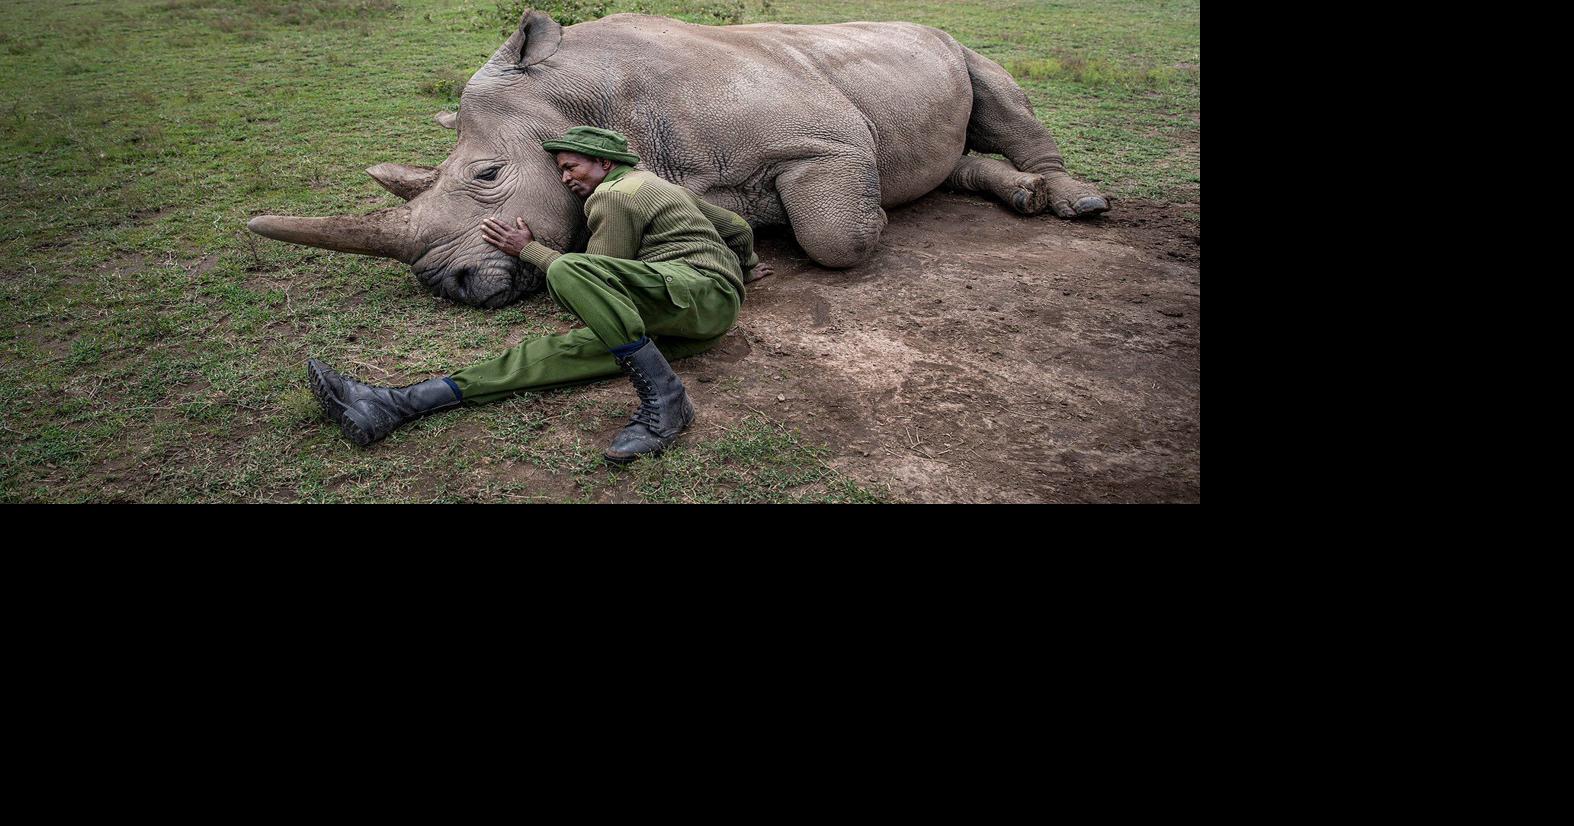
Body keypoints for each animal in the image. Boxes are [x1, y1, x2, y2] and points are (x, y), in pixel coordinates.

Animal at [248, 9, 1109, 308]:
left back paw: (1080, 205)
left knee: (999, 90)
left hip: (952, 41)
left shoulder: (828, 142)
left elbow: (836, 236)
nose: (447, 286)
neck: (582, 95)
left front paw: (850, 228)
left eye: (488, 177)